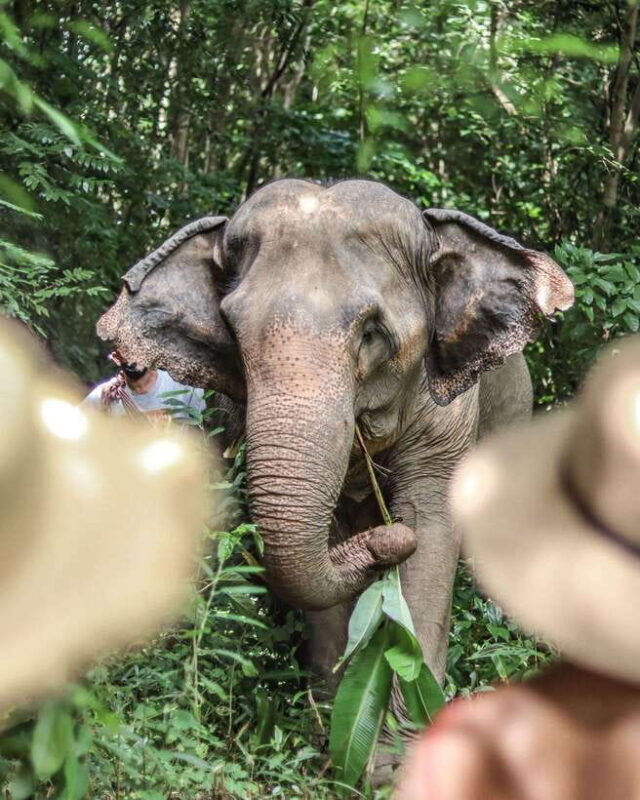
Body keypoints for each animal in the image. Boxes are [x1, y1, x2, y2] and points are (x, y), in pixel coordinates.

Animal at [97, 178, 574, 693]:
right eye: (235, 333)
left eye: (372, 333)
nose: (388, 535)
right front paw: (331, 699)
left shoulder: (448, 415)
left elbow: (429, 519)